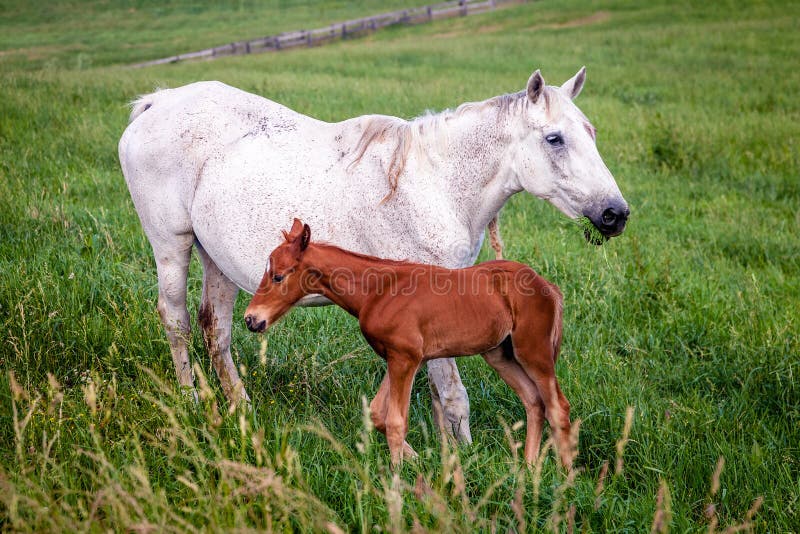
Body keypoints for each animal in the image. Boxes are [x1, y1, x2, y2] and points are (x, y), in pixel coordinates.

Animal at [118, 67, 628, 443]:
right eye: (554, 139)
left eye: (590, 132)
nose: (615, 213)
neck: (437, 184)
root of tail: (157, 103)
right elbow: (453, 395)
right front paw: (461, 465)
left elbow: (440, 393)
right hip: (173, 246)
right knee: (177, 320)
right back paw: (190, 402)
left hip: (216, 261)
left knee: (216, 329)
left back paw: (239, 408)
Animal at [244, 219, 573, 467]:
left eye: (278, 276)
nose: (251, 319)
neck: (378, 290)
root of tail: (548, 286)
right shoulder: (394, 358)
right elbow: (377, 415)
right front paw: (415, 459)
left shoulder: (406, 359)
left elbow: (395, 422)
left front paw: (398, 479)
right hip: (500, 355)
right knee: (534, 401)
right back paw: (529, 468)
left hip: (533, 351)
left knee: (558, 406)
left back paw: (565, 478)